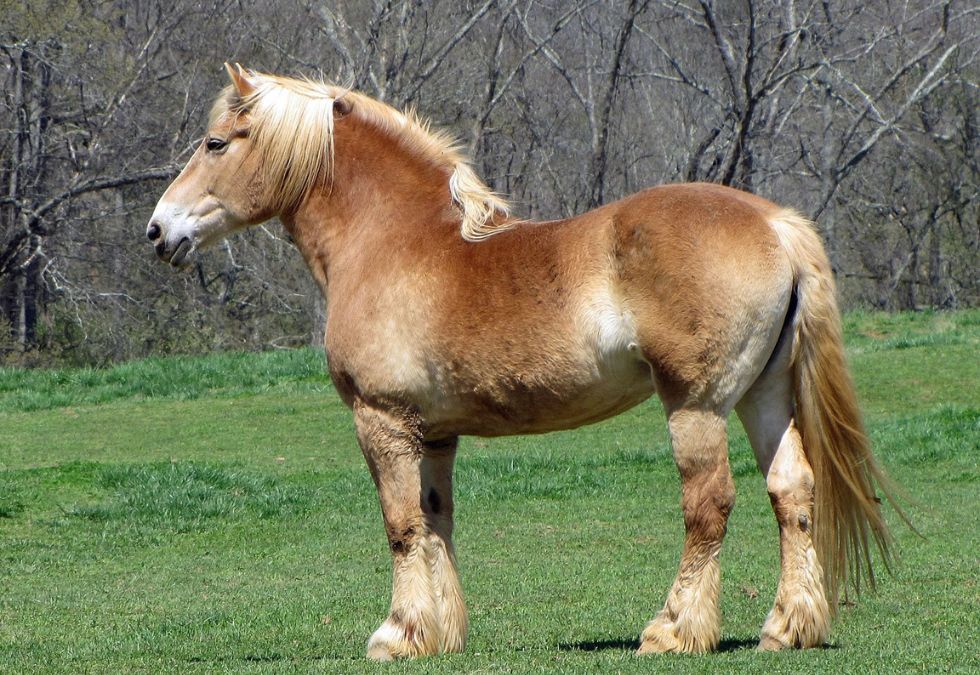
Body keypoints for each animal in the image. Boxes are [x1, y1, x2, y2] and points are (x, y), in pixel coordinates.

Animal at [146, 63, 898, 660]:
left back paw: (673, 629)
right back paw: (787, 627)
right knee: (791, 493)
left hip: (697, 404)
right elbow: (436, 521)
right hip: (762, 396)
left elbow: (400, 525)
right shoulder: (434, 434)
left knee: (708, 506)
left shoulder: (381, 420)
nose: (158, 231)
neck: (394, 238)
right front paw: (440, 633)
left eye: (215, 143)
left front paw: (397, 633)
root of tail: (776, 223)